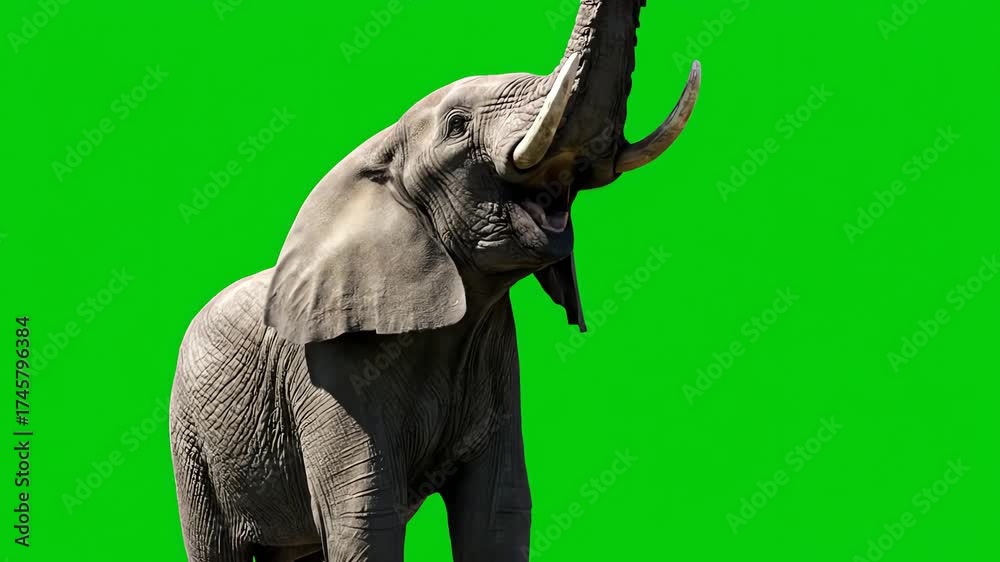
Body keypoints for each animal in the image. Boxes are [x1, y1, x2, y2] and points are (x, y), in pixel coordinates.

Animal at [169, 1, 700, 560]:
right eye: (457, 125)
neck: (380, 150)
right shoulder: (327, 367)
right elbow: (365, 516)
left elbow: (497, 511)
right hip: (190, 438)